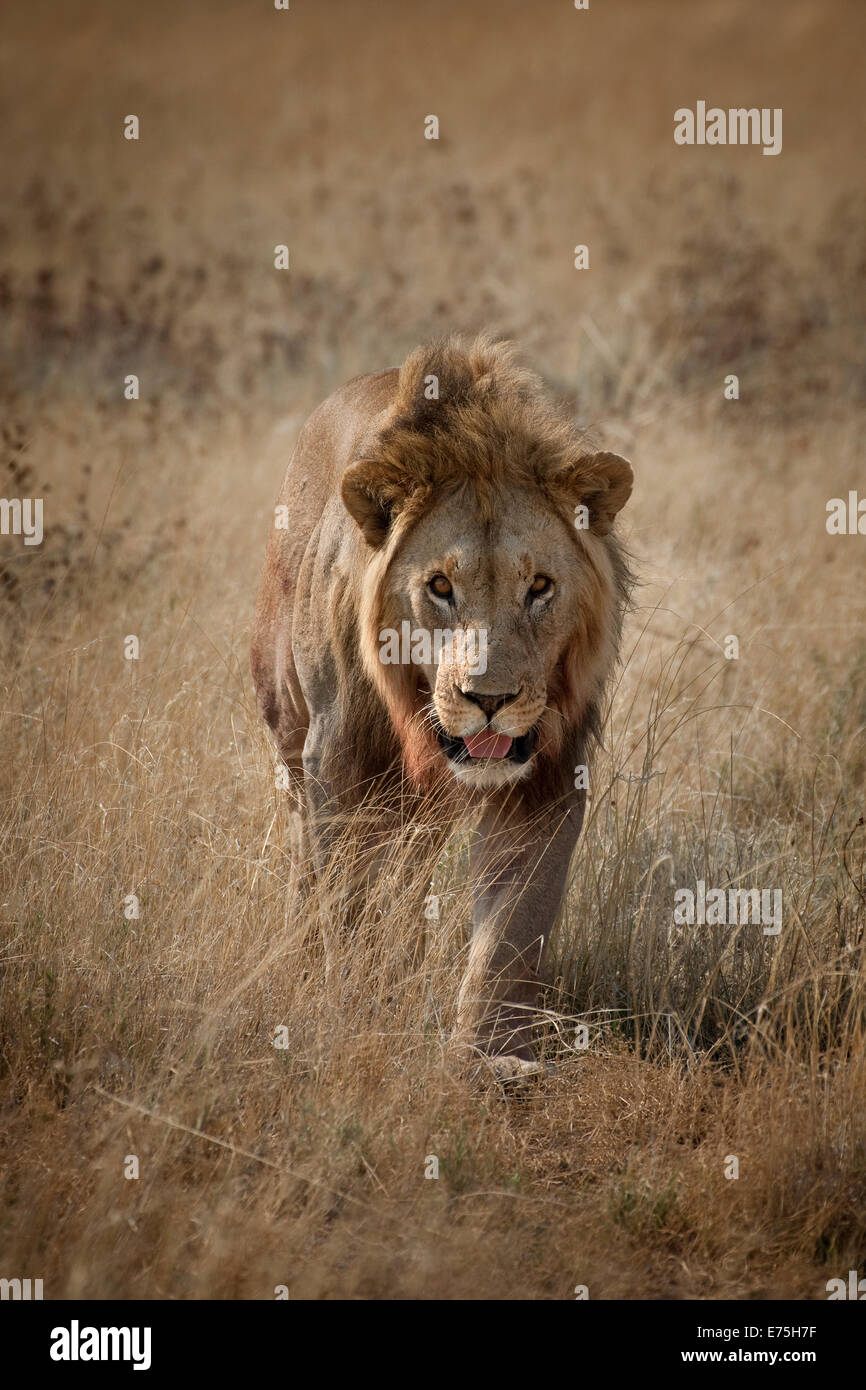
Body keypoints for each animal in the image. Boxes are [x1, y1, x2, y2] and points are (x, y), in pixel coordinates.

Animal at [251, 334, 633, 1073]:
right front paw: (353, 1012)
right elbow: (347, 903)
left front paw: (492, 1057)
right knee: (305, 860)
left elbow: (512, 928)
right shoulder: (337, 759)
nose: (489, 699)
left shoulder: (545, 776)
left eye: (539, 586)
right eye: (439, 587)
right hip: (290, 734)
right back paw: (305, 959)